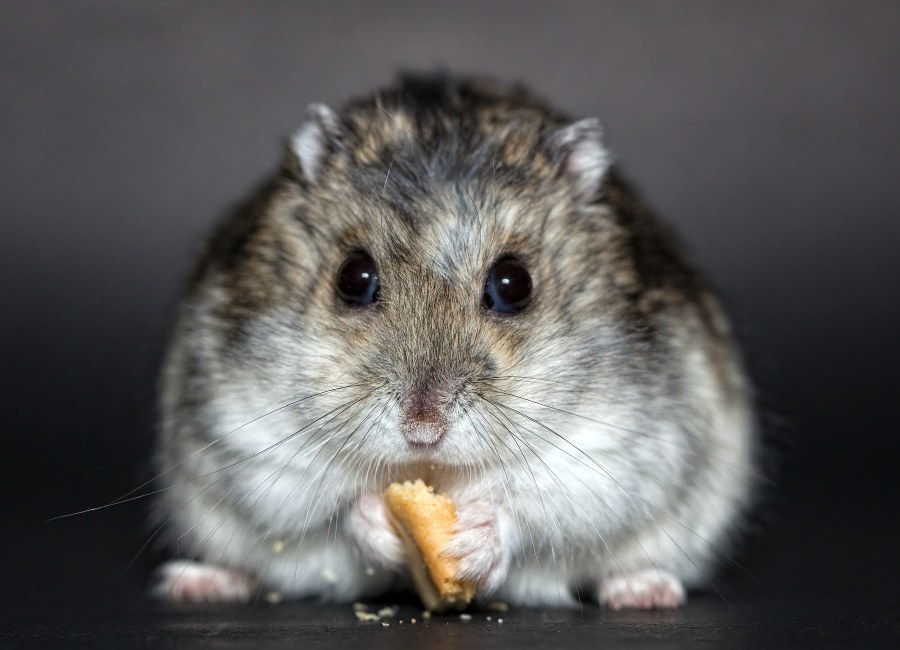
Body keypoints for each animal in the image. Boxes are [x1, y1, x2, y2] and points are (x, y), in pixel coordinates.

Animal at [152, 75, 756, 609]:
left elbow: (538, 507)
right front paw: (379, 521)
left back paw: (645, 592)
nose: (424, 430)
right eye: (353, 278)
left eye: (514, 284)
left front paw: (471, 542)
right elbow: (328, 503)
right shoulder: (249, 437)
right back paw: (197, 583)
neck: (437, 472)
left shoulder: (617, 450)